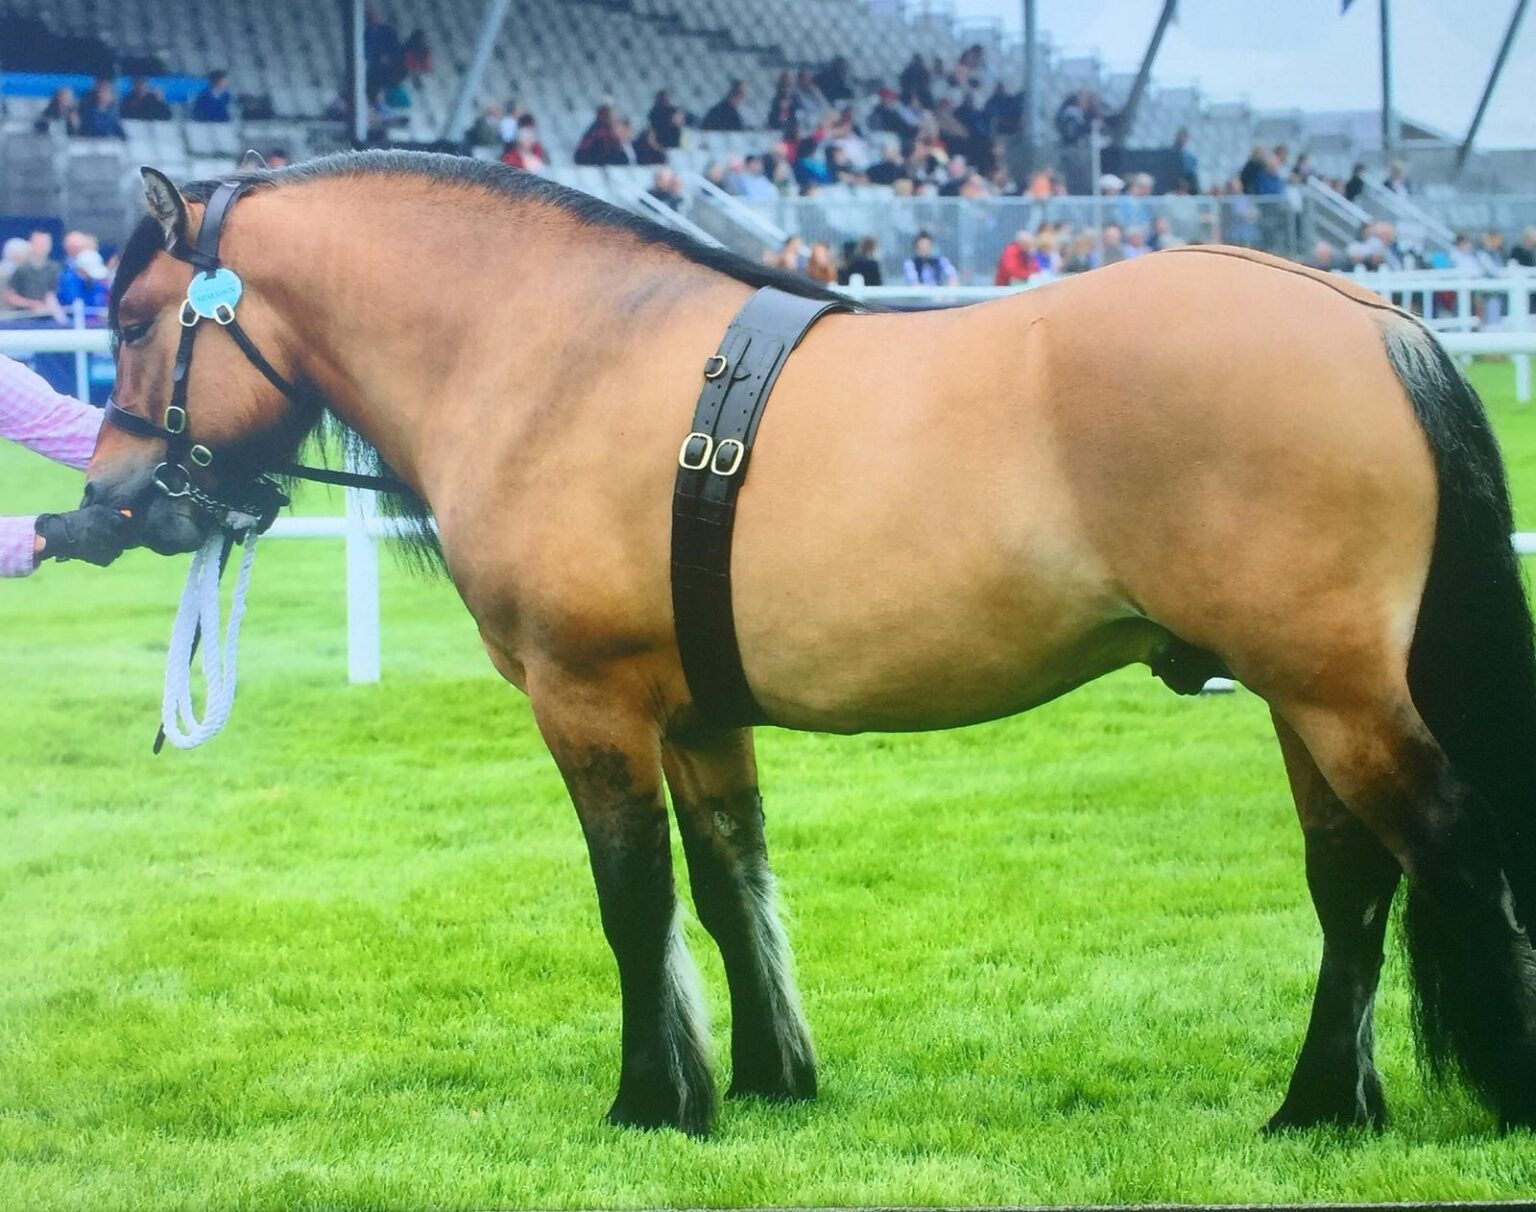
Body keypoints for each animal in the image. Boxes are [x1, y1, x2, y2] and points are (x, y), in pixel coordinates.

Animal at [87, 150, 1536, 1138]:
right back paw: (1320, 1106)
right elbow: (734, 885)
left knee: (1446, 842)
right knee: (1352, 881)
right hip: (1303, 695)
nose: (112, 505)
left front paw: (652, 1100)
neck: (559, 355)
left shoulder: (587, 703)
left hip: (1335, 690)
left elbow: (635, 900)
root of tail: (1377, 320)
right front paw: (770, 1077)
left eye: (132, 323)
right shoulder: (697, 714)